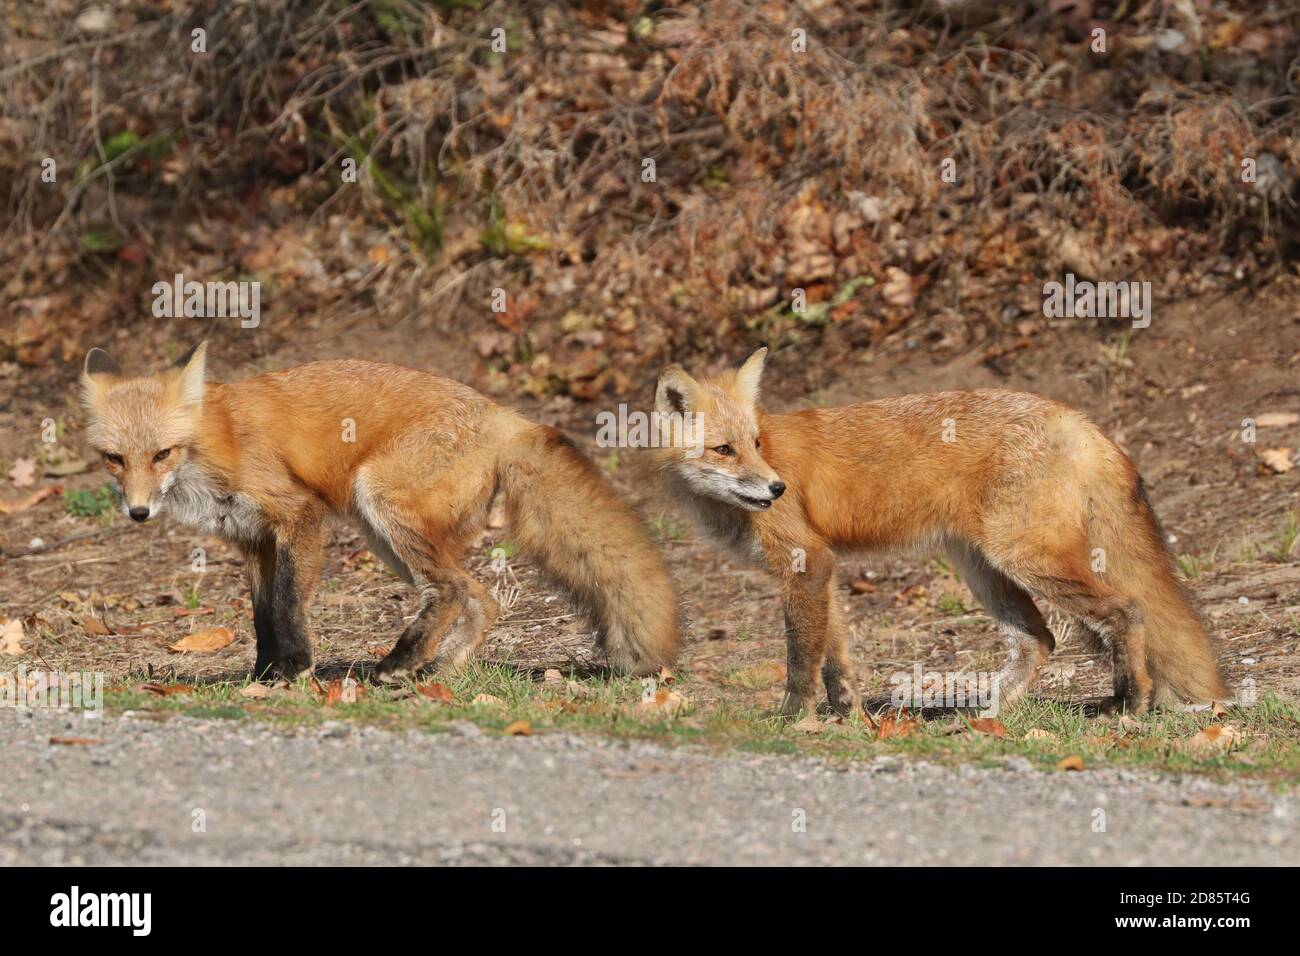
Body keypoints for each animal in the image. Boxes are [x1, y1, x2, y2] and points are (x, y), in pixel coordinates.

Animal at [79, 342, 678, 681]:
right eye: (115, 459)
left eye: (162, 454)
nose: (137, 512)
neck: (208, 445)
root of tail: (506, 416)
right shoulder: (253, 539)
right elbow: (262, 615)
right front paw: (262, 674)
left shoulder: (298, 515)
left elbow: (288, 604)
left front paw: (294, 669)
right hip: (386, 540)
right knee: (480, 597)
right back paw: (438, 669)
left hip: (382, 508)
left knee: (454, 591)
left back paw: (399, 663)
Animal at [653, 348, 1228, 718]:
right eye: (724, 450)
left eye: (754, 443)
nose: (776, 488)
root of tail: (1075, 417)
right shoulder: (822, 568)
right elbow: (836, 658)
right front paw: (846, 716)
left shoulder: (806, 561)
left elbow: (801, 658)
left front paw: (793, 719)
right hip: (984, 568)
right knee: (1038, 640)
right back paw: (987, 715)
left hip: (1025, 558)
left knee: (1126, 612)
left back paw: (1129, 703)